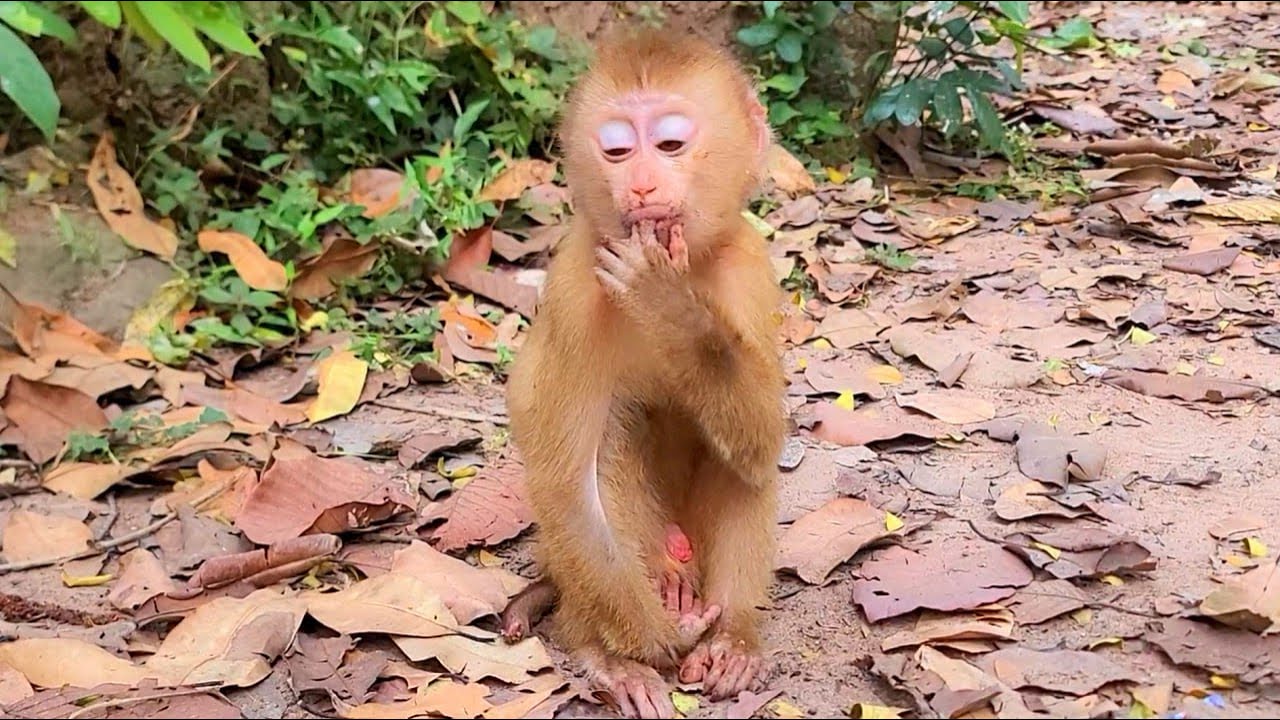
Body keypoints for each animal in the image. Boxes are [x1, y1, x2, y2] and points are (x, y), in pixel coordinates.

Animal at [505, 26, 787, 719]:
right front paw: (656, 642)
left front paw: (669, 306)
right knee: (611, 438)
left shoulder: (747, 267)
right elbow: (567, 485)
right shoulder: (576, 288)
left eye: (669, 144)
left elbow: (761, 443)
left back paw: (732, 637)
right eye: (616, 150)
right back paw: (610, 653)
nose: (638, 186)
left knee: (735, 456)